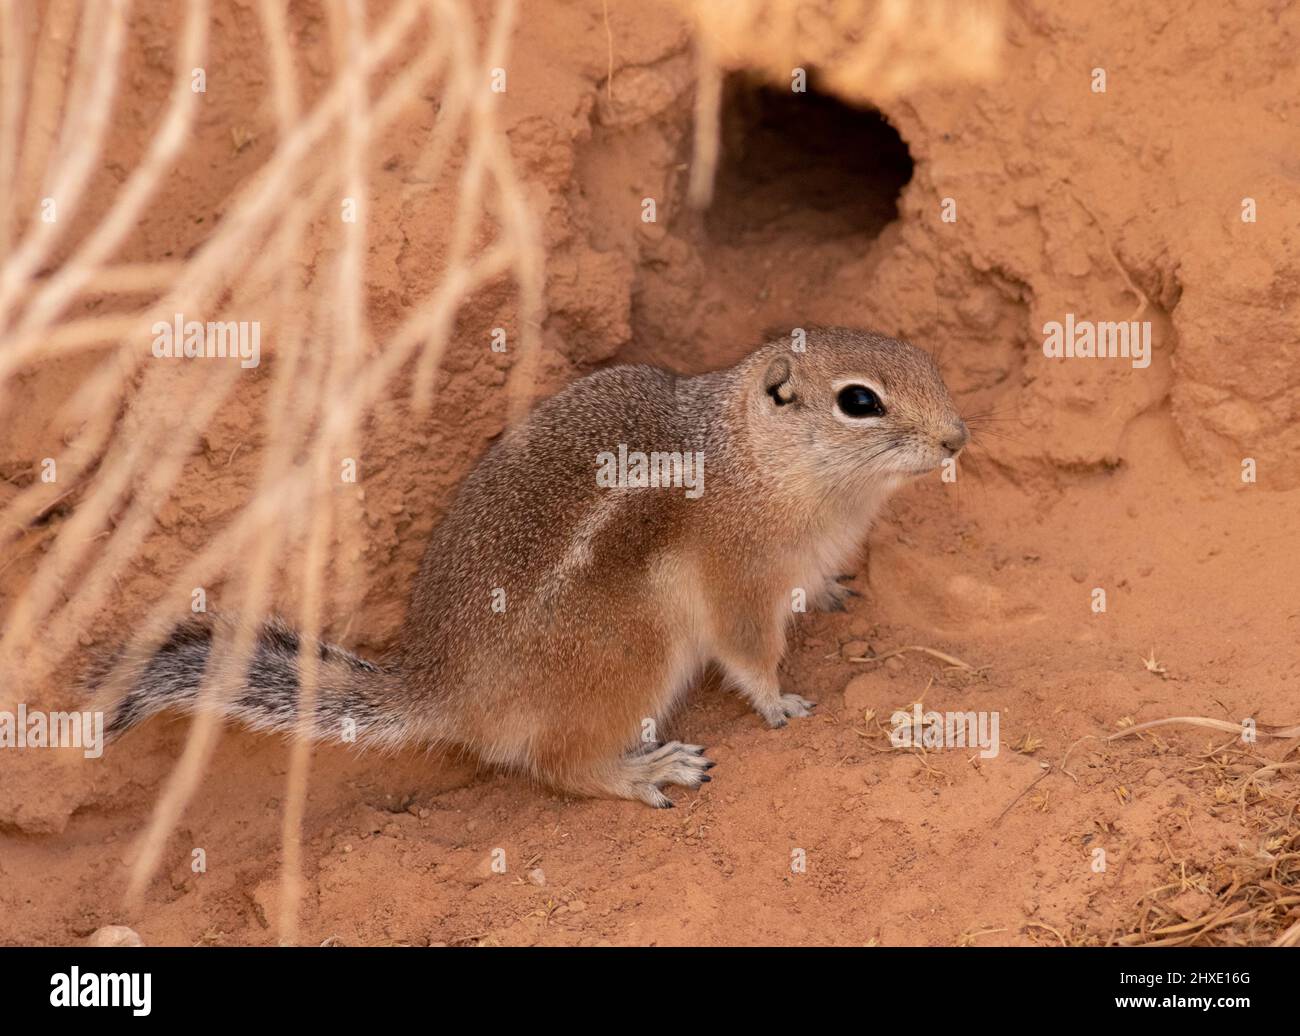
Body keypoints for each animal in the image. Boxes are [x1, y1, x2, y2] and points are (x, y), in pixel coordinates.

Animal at [95, 327, 968, 808]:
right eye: (860, 401)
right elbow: (750, 654)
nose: (957, 437)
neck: (758, 457)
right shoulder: (741, 581)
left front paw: (833, 593)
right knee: (559, 766)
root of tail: (438, 689)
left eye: (927, 362)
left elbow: (814, 586)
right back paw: (645, 771)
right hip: (632, 655)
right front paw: (782, 703)